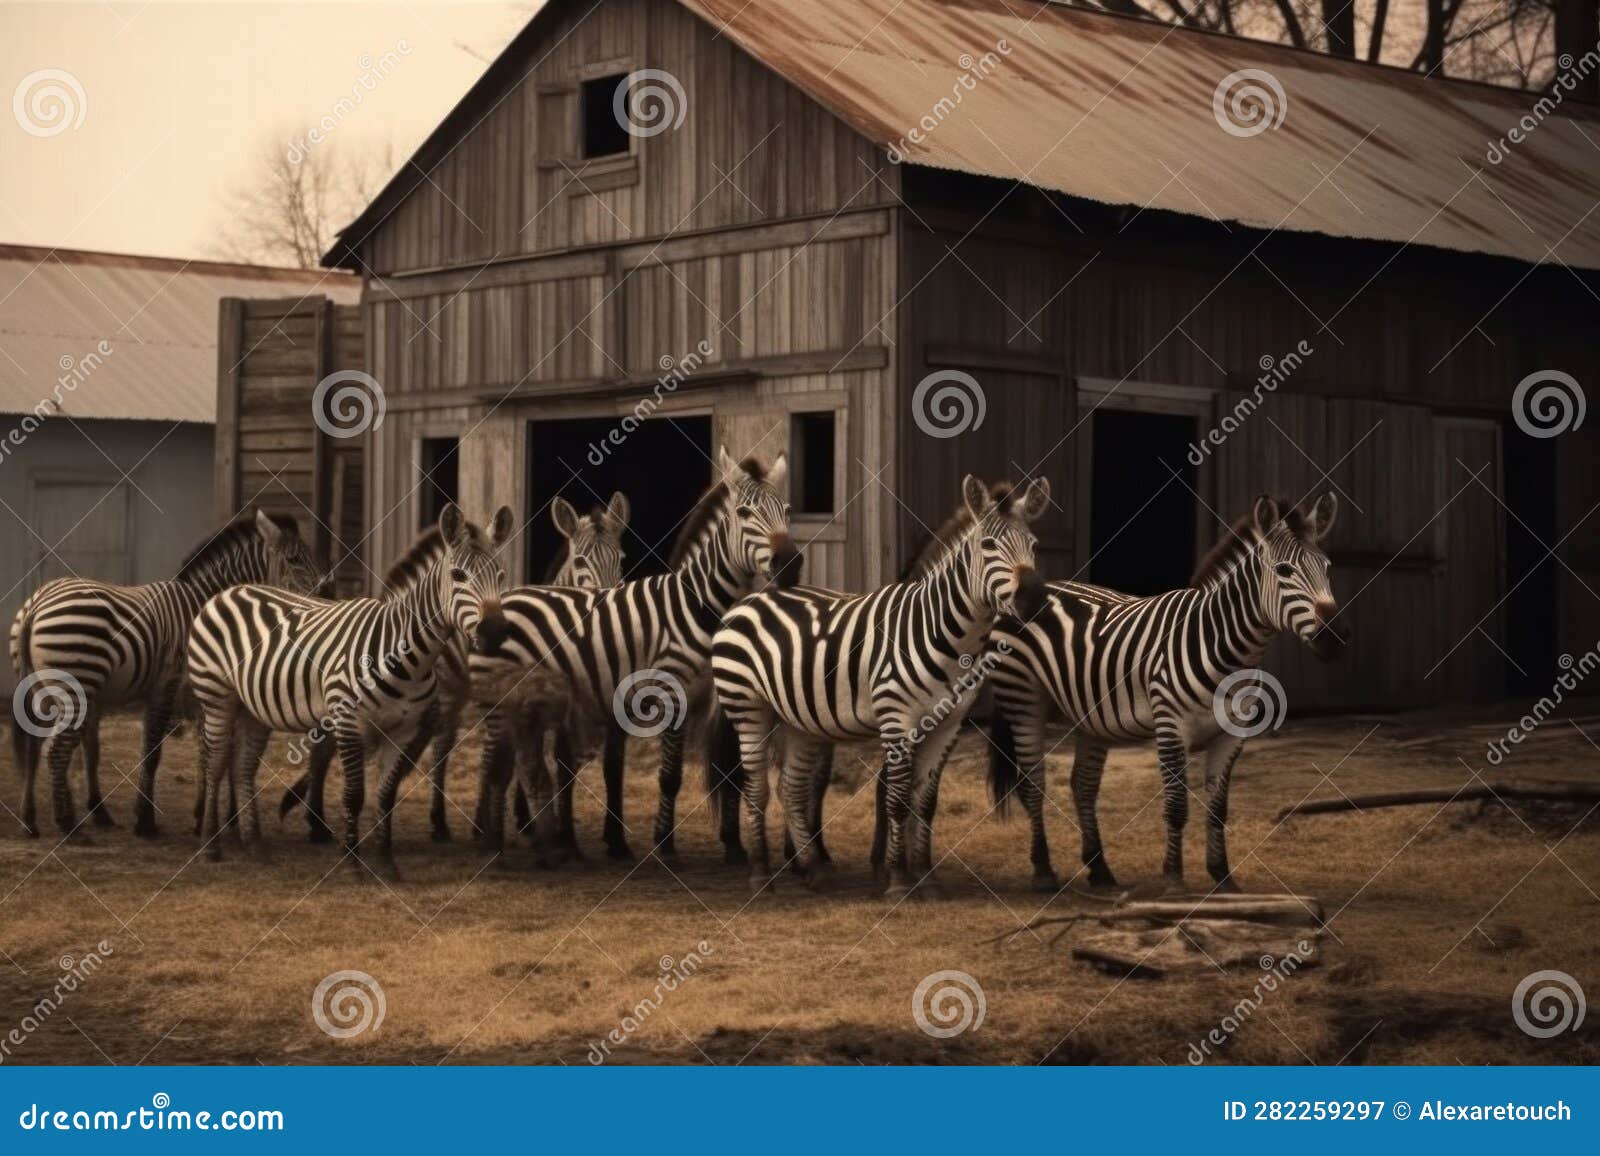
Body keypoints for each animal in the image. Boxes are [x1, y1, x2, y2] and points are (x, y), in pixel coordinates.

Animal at [8, 509, 322, 841]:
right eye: (295, 560)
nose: (327, 594)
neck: (202, 605)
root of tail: (37, 604)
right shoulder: (169, 686)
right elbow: (154, 751)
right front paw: (147, 821)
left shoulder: (201, 694)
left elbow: (208, 752)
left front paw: (207, 817)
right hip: (74, 685)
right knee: (54, 751)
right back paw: (69, 826)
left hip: (40, 689)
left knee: (32, 748)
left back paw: (30, 820)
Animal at [184, 502, 512, 876]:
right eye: (459, 576)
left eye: (501, 576)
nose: (494, 631)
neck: (407, 656)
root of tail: (231, 590)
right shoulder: (348, 722)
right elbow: (353, 794)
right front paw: (351, 862)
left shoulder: (403, 730)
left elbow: (385, 795)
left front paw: (385, 862)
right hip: (216, 697)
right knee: (215, 762)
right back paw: (210, 845)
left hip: (251, 708)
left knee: (241, 766)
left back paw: (255, 847)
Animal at [469, 448, 797, 864]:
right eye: (744, 513)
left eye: (786, 511)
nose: (790, 562)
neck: (696, 606)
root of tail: (504, 599)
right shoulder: (672, 694)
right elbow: (669, 776)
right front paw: (664, 845)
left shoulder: (720, 699)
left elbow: (733, 770)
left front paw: (735, 847)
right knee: (498, 757)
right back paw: (493, 836)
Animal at [710, 475, 1050, 898]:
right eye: (988, 545)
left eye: (1033, 545)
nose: (1035, 599)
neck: (944, 633)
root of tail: (751, 598)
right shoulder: (896, 718)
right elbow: (898, 799)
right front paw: (899, 880)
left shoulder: (949, 724)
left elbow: (926, 801)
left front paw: (926, 876)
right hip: (747, 706)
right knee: (756, 785)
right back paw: (761, 873)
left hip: (797, 718)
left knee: (792, 786)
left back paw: (812, 869)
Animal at [983, 492, 1344, 893]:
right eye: (1284, 571)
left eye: (1327, 567)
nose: (1333, 640)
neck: (1223, 645)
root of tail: (1029, 589)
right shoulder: (1171, 727)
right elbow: (1176, 806)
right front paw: (1173, 878)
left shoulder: (1232, 737)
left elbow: (1218, 810)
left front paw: (1222, 876)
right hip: (1024, 702)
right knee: (1033, 784)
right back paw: (1044, 870)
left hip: (1091, 716)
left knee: (1083, 786)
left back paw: (1100, 869)